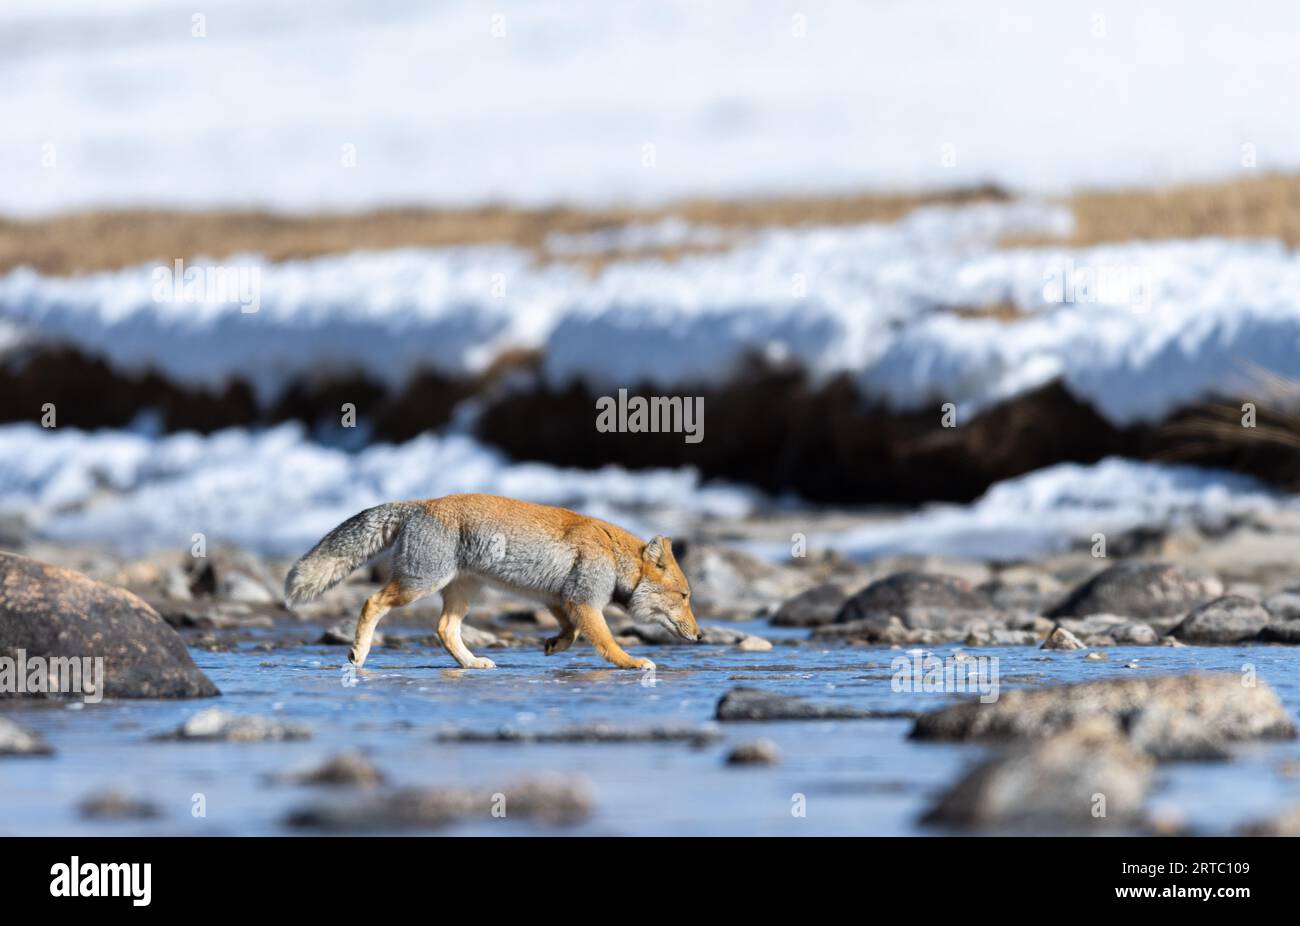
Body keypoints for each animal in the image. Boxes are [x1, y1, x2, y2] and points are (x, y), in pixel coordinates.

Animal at [284, 493, 700, 670]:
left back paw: (470, 663)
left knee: (444, 629)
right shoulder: (583, 601)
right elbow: (608, 642)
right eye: (684, 596)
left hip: (462, 592)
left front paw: (554, 644)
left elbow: (573, 633)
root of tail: (421, 504)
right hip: (419, 585)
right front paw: (631, 662)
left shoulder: (558, 598)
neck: (614, 557)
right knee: (372, 602)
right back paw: (360, 653)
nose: (698, 635)